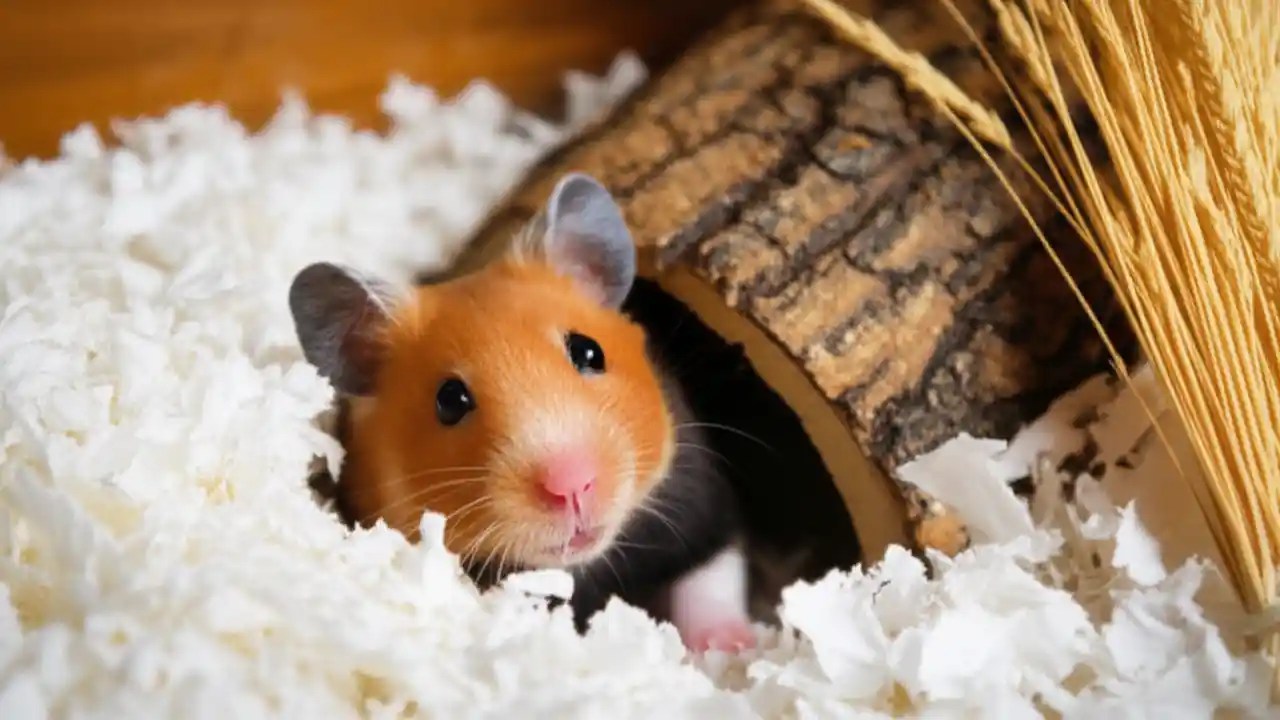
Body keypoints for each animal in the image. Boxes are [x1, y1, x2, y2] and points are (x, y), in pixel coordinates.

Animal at [289, 173, 756, 652]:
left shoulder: (701, 499)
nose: (571, 486)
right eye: (449, 401)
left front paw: (732, 649)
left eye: (588, 352)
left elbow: (713, 570)